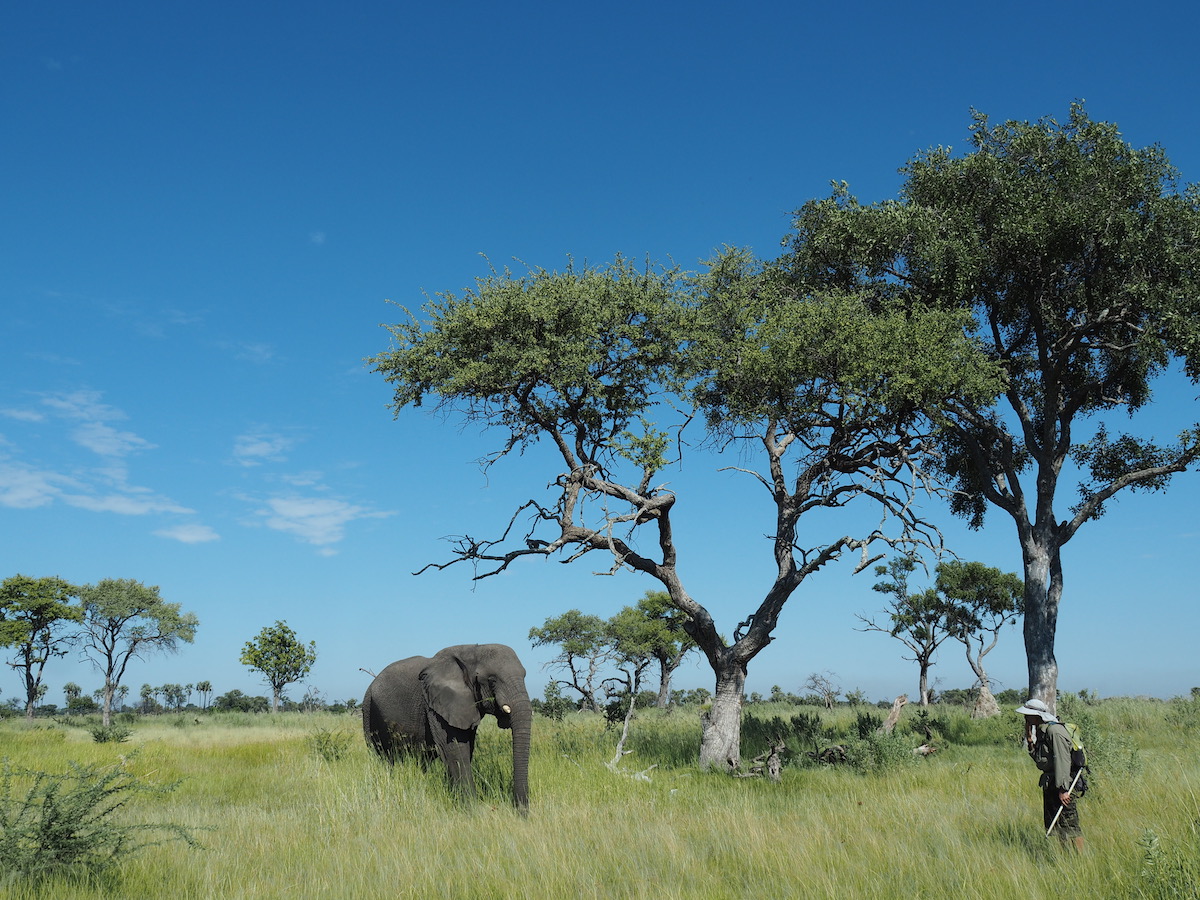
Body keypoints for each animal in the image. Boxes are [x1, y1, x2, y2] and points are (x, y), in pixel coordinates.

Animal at [362, 643, 531, 810]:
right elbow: (456, 749)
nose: (521, 812)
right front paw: (472, 810)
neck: (472, 650)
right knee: (385, 757)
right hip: (369, 711)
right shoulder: (436, 703)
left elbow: (466, 749)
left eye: (524, 676)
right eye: (492, 680)